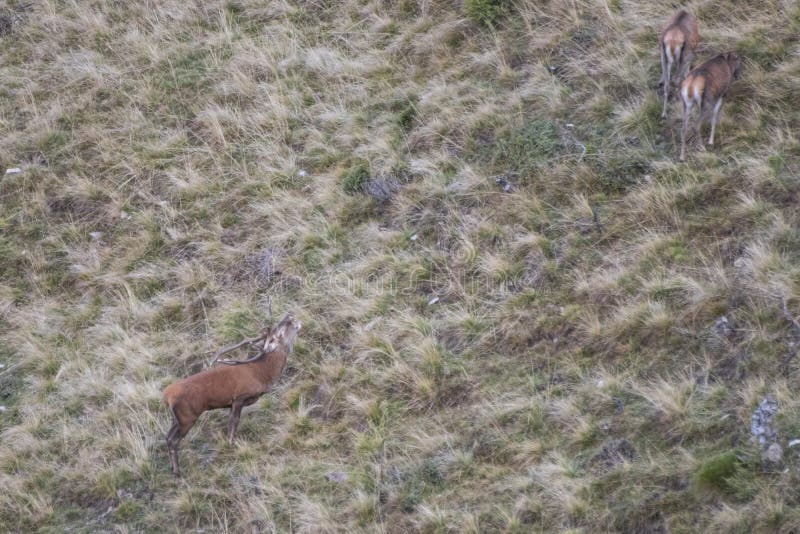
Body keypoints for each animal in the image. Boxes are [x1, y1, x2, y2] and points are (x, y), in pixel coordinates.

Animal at [162, 314, 301, 476]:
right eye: (281, 331)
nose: (290, 316)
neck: (262, 374)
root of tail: (166, 396)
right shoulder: (239, 397)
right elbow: (234, 422)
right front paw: (231, 444)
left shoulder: (230, 403)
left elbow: (229, 423)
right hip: (187, 417)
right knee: (173, 440)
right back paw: (177, 471)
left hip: (176, 419)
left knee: (168, 437)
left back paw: (172, 468)